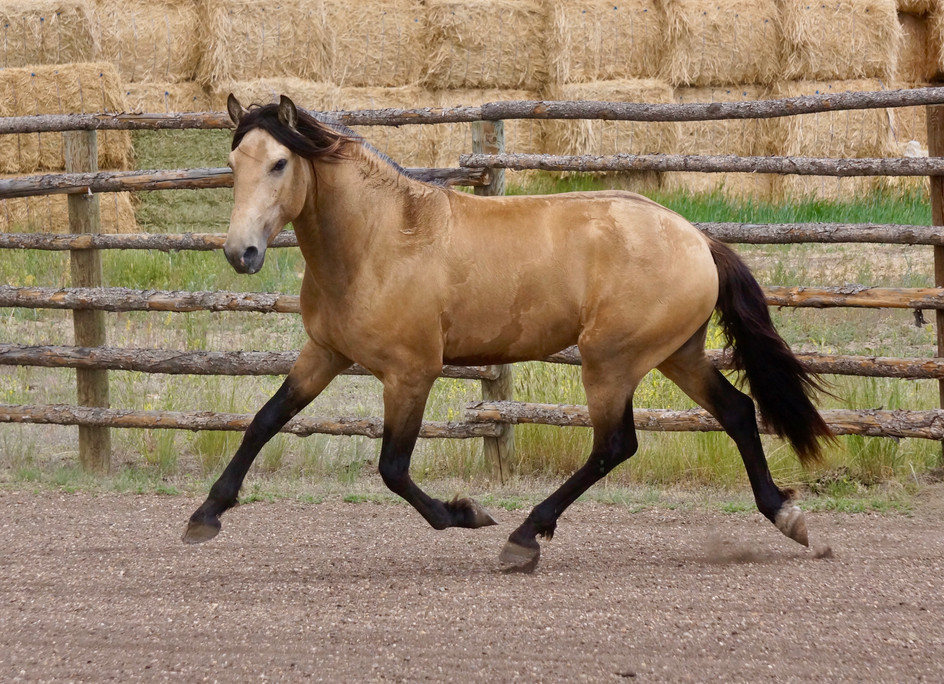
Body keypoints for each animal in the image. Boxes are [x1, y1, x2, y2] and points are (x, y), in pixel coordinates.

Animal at [182, 94, 833, 572]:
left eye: (280, 163)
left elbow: (393, 467)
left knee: (615, 445)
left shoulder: (411, 372)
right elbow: (265, 420)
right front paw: (205, 514)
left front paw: (466, 513)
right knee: (737, 412)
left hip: (611, 361)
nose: (241, 253)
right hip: (677, 354)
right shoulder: (323, 353)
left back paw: (524, 536)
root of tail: (697, 238)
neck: (380, 241)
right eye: (233, 164)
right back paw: (791, 520)